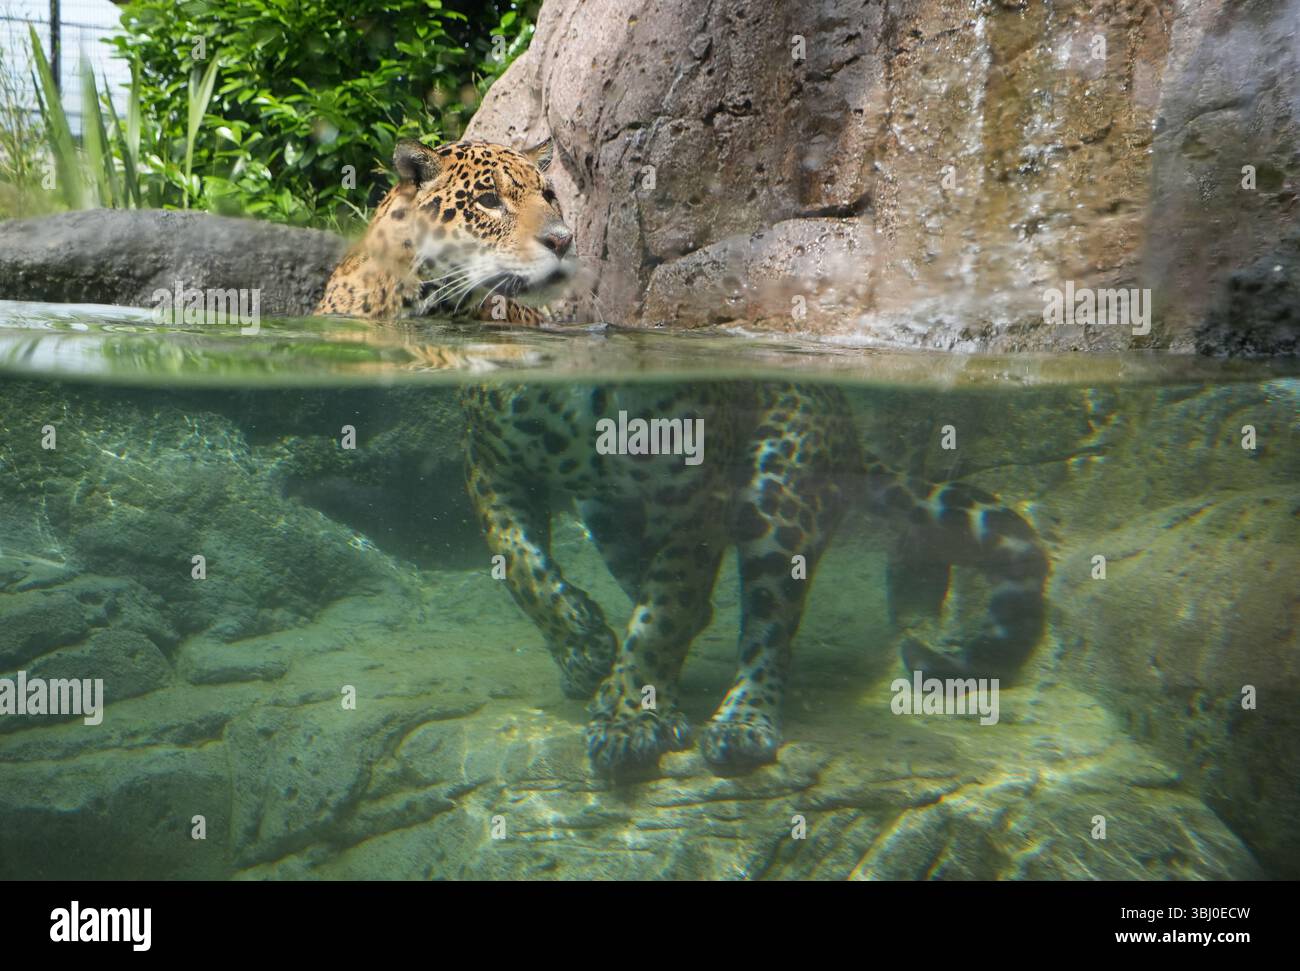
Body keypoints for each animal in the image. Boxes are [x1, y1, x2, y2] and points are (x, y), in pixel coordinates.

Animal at [320, 137, 1050, 775]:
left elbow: (663, 614)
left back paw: (741, 724)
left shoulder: (695, 500)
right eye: (490, 202)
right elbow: (525, 570)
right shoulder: (491, 464)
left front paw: (631, 714)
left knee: (767, 629)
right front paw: (585, 642)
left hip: (778, 487)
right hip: (609, 517)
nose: (561, 240)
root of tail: (848, 429)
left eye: (548, 195)